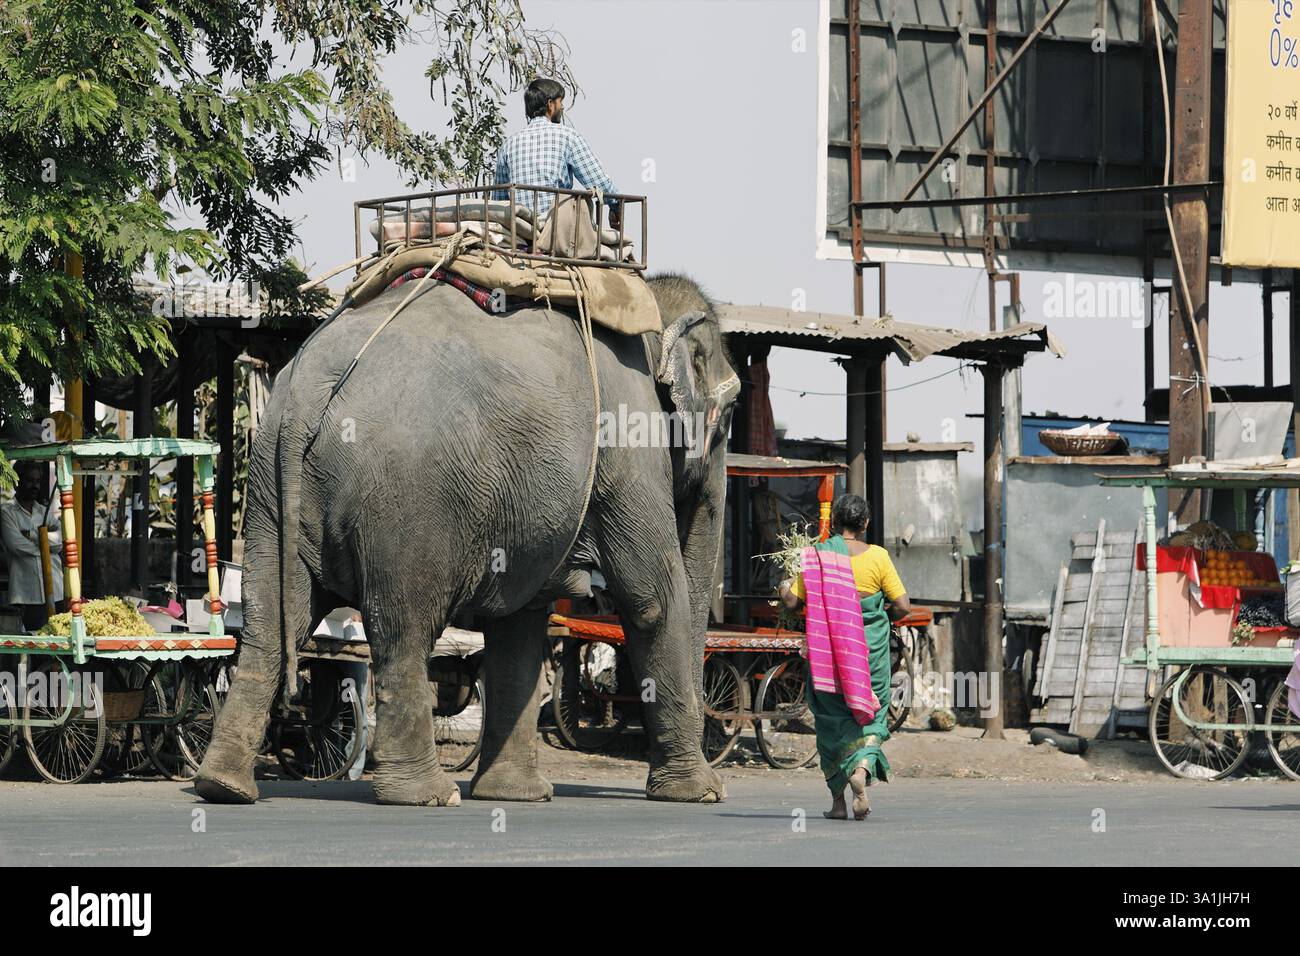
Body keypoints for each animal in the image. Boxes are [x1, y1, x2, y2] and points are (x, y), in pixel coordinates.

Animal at [195, 271, 741, 806]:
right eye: (732, 408)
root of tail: (308, 386)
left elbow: (521, 623)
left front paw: (516, 795)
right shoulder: (629, 444)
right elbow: (652, 600)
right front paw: (702, 794)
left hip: (268, 487)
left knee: (270, 620)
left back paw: (223, 786)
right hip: (407, 506)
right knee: (404, 628)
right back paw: (427, 795)